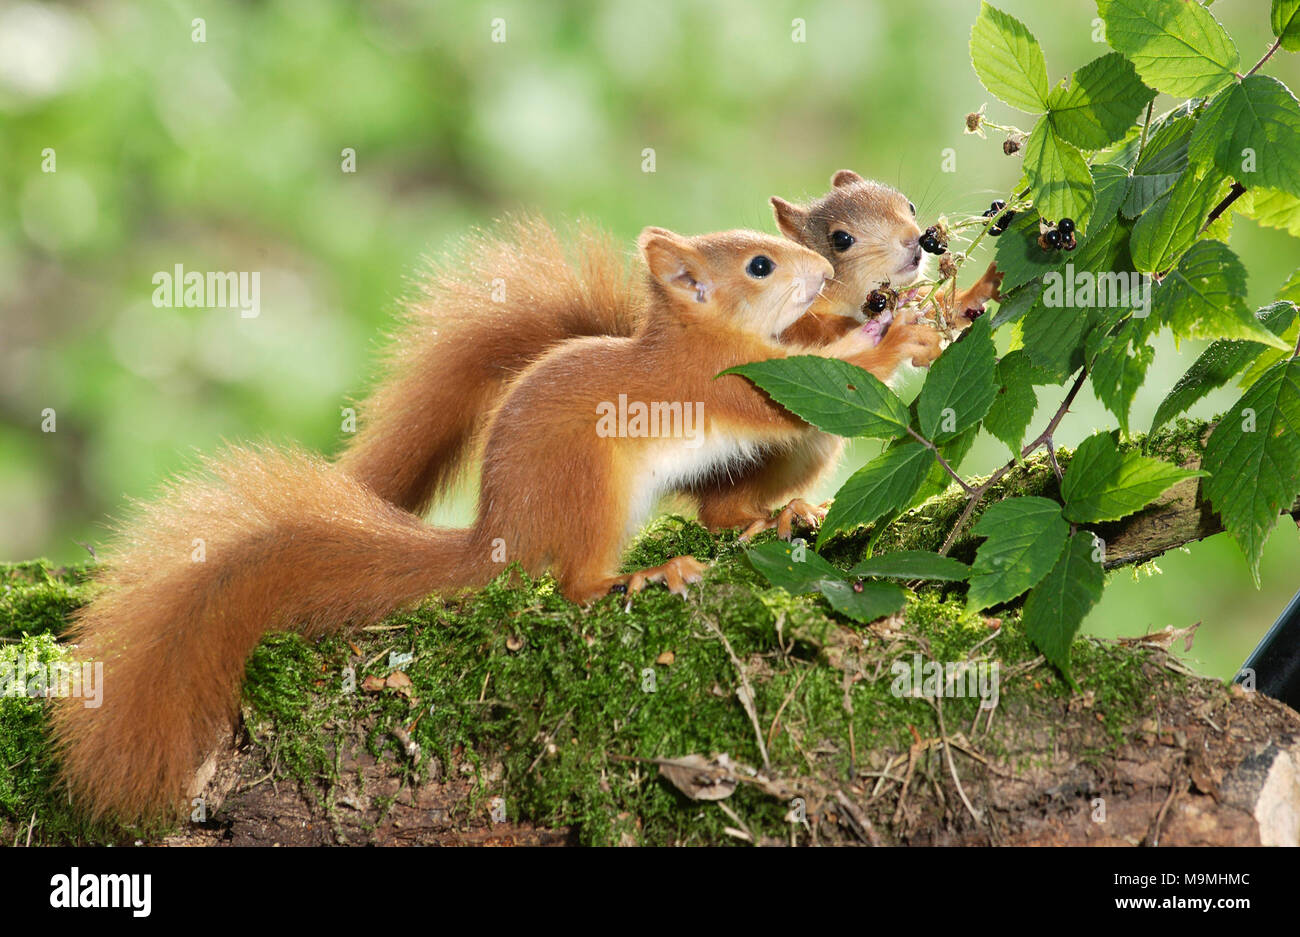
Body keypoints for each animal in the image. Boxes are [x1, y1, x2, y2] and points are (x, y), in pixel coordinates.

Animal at [53, 225, 913, 822]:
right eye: (760, 266)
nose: (827, 274)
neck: (698, 335)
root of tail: (499, 536)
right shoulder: (728, 381)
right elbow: (806, 390)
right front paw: (900, 336)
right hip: (592, 492)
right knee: (574, 584)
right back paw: (647, 573)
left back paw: (787, 511)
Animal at [336, 170, 1002, 528]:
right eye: (840, 239)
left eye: (906, 202)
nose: (919, 241)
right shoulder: (789, 336)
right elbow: (820, 353)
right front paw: (893, 327)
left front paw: (974, 293)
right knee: (718, 512)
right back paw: (772, 518)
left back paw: (802, 507)